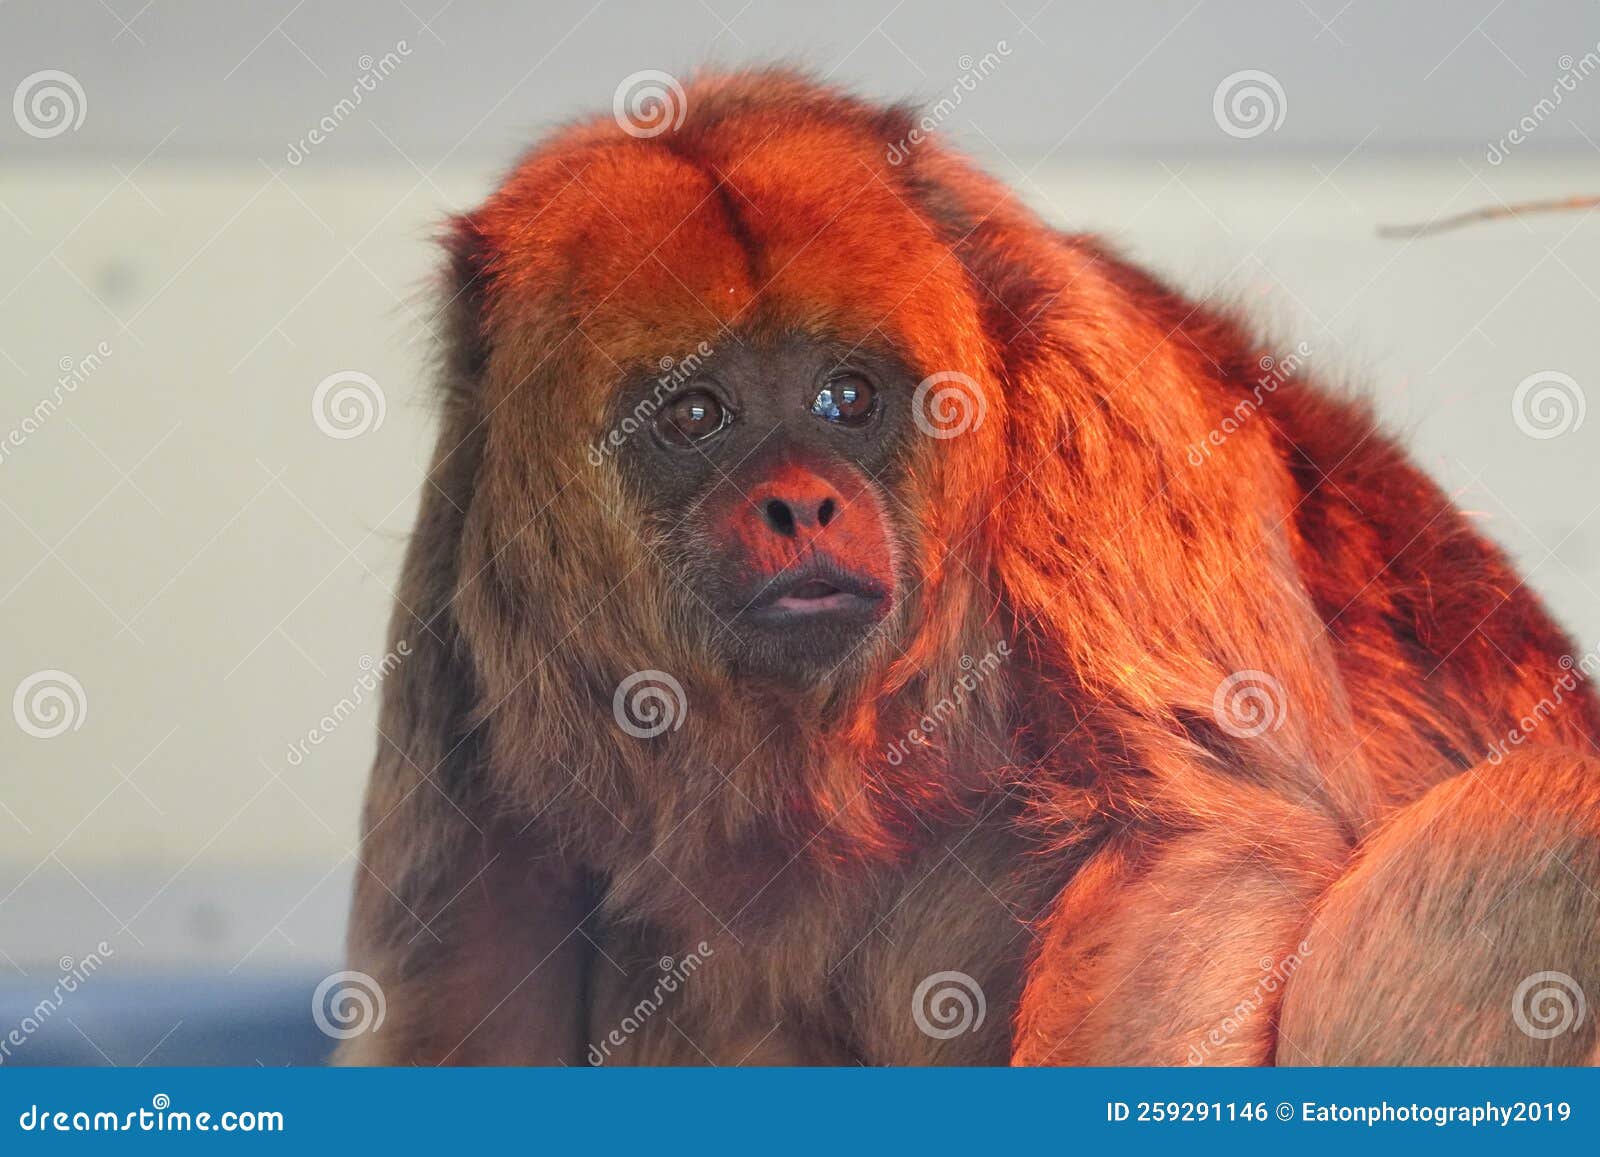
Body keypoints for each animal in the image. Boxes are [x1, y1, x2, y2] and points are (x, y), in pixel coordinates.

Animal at [337, 69, 1600, 1066]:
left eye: (846, 397)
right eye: (694, 413)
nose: (800, 504)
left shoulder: (1092, 397)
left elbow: (1205, 846)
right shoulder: (453, 557)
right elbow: (456, 972)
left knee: (1522, 839)